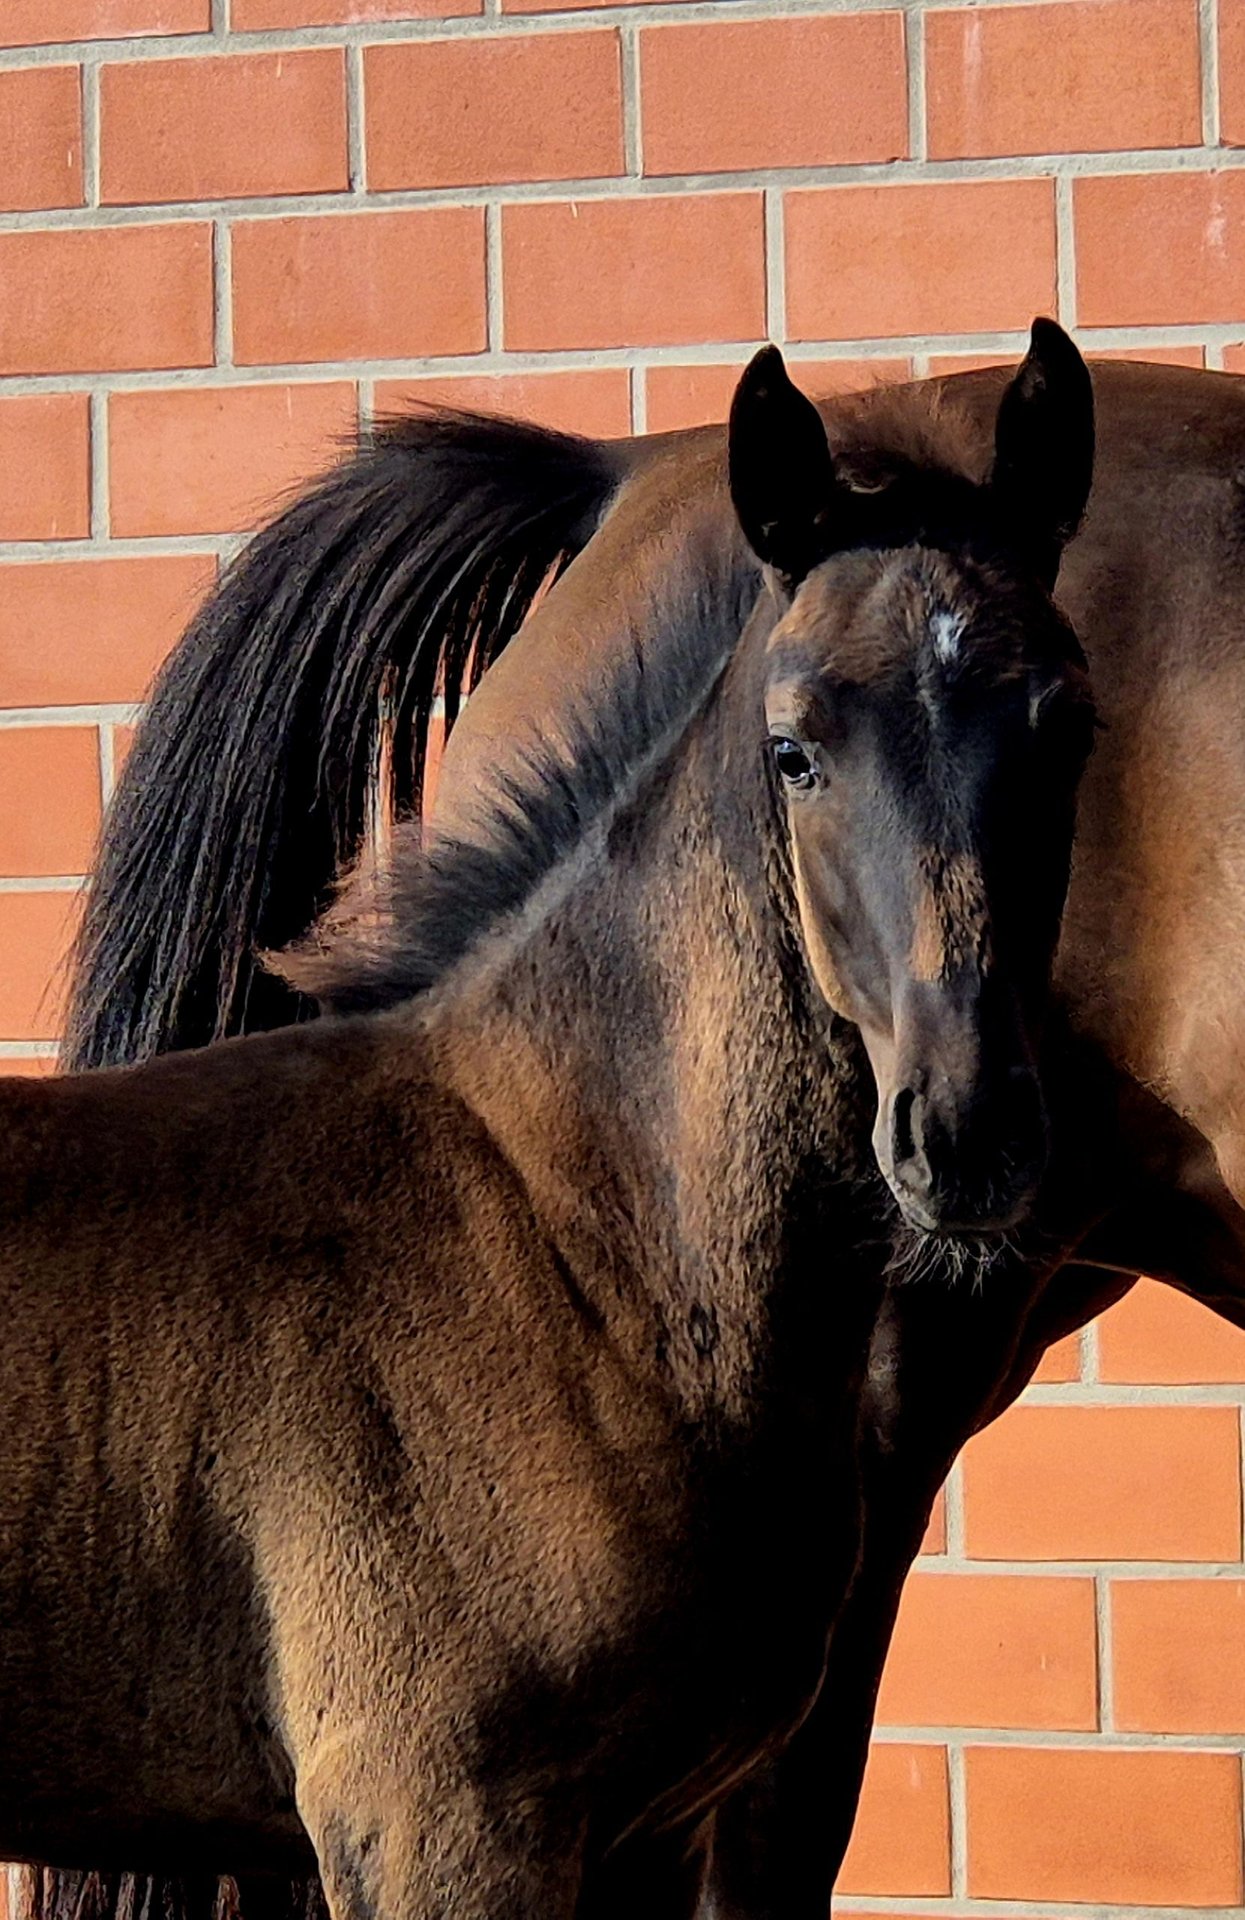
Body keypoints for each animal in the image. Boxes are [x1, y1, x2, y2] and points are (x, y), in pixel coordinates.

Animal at [3, 331, 1102, 1920]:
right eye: (792, 749)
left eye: (1069, 723)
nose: (965, 1129)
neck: (567, 1234)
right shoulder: (440, 1822)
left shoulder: (649, 1828)